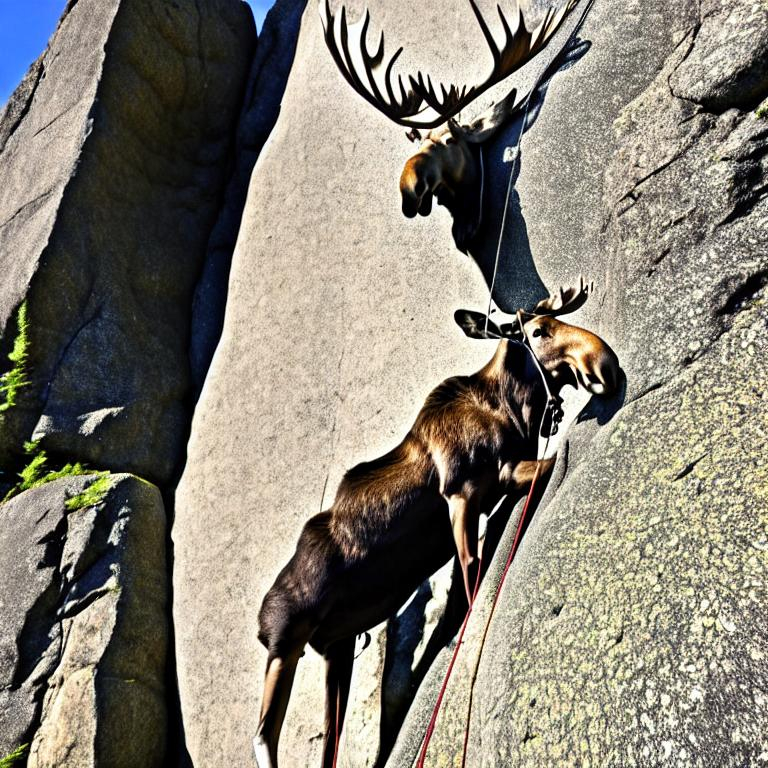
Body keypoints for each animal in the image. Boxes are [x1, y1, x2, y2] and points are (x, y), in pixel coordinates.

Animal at [253, 279, 620, 768]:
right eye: (539, 330)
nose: (604, 363)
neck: (512, 408)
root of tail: (260, 621)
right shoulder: (461, 491)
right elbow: (470, 569)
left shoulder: (496, 480)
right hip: (286, 637)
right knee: (263, 734)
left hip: (337, 648)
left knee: (329, 738)